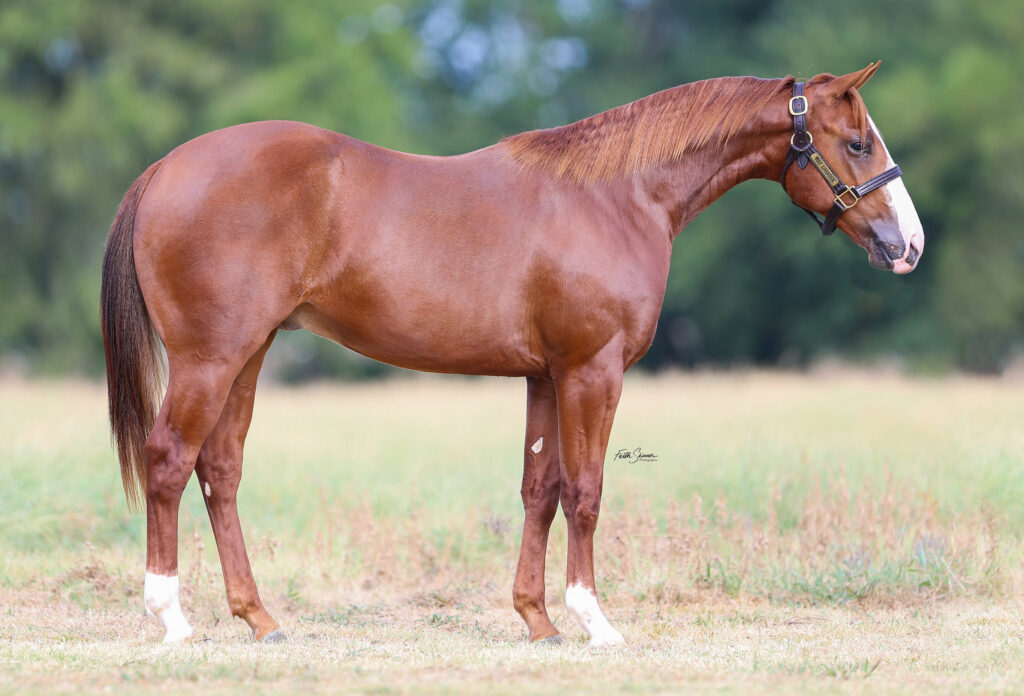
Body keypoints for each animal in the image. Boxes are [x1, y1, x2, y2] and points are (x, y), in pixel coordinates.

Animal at [101, 62, 923, 645]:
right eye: (857, 143)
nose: (907, 246)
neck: (615, 197)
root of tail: (165, 168)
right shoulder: (593, 371)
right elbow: (586, 490)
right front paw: (595, 621)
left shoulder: (544, 376)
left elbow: (541, 489)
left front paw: (538, 620)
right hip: (211, 358)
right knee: (169, 460)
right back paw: (172, 618)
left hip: (248, 354)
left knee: (220, 471)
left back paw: (260, 618)